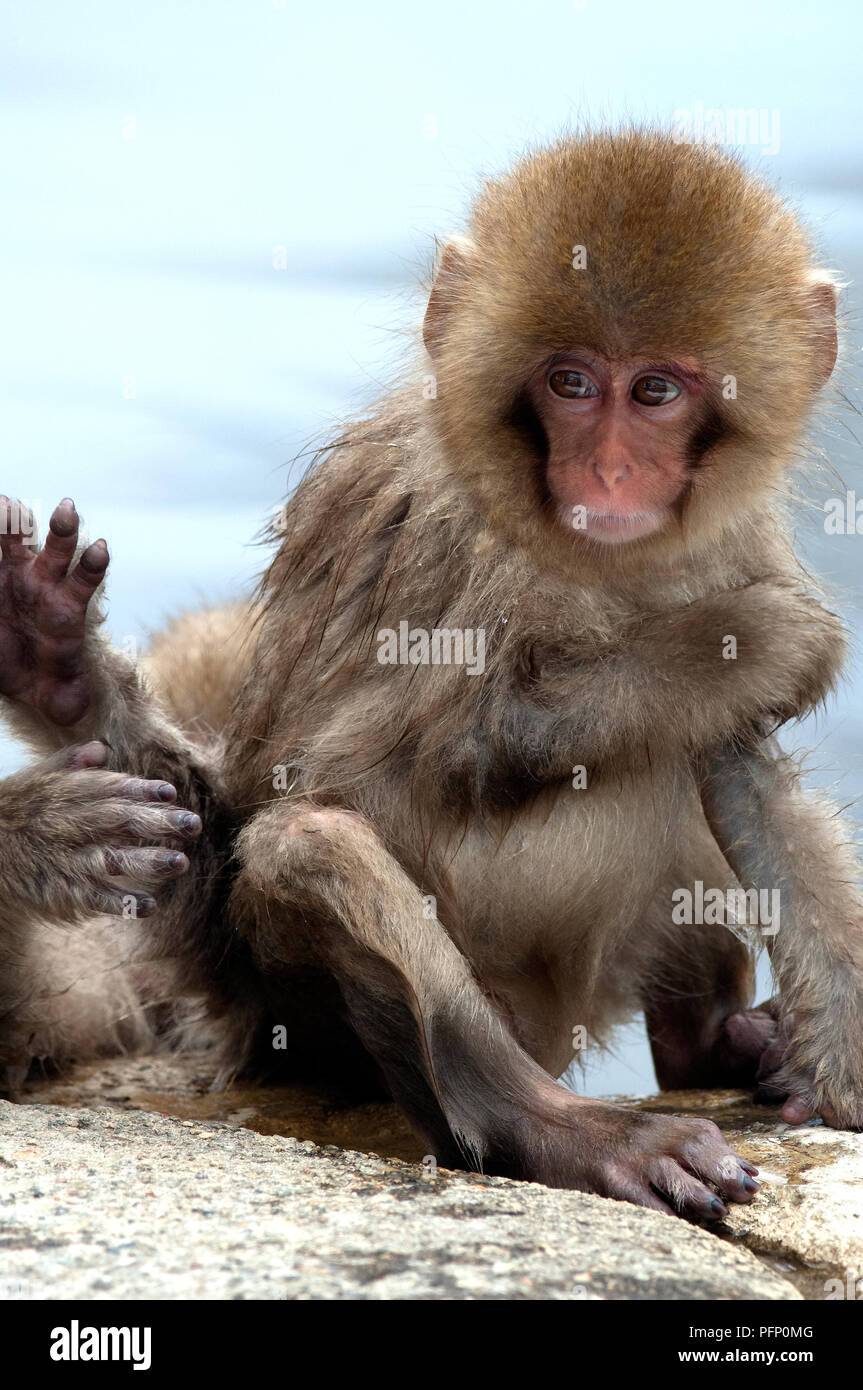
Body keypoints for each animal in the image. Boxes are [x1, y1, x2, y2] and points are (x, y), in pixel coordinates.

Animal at [1, 128, 860, 1221]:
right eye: (569, 383)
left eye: (656, 392)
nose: (607, 472)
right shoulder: (450, 531)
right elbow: (394, 764)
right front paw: (759, 639)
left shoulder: (727, 535)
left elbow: (743, 767)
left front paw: (843, 1060)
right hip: (300, 1015)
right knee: (311, 847)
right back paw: (549, 1127)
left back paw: (710, 1040)